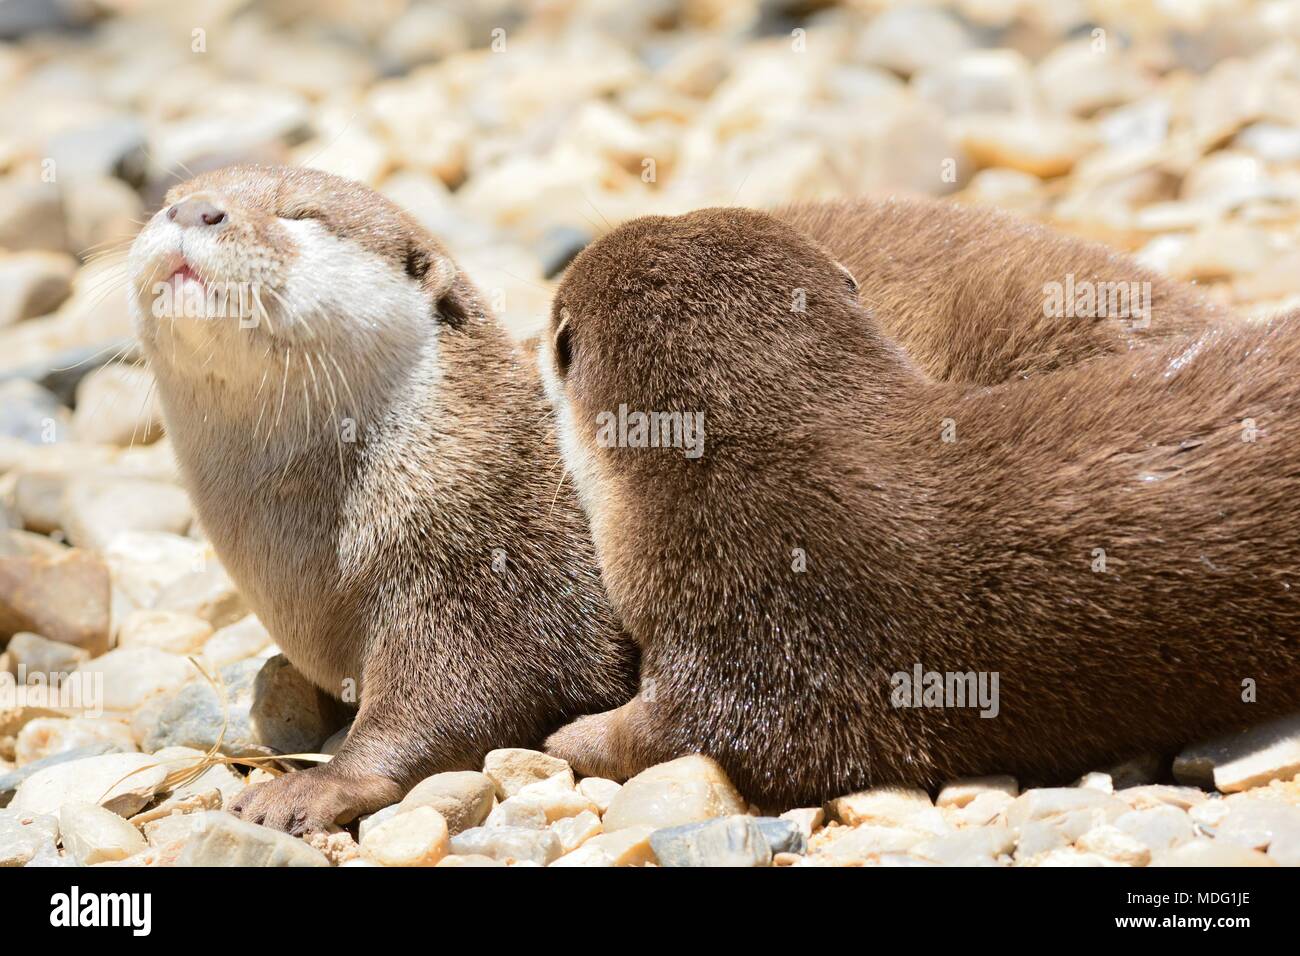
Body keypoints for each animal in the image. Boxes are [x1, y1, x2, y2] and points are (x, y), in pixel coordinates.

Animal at [128, 165, 637, 833]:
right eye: (167, 202)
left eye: (301, 214)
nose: (195, 211)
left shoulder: (492, 581)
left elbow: (461, 695)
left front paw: (312, 788)